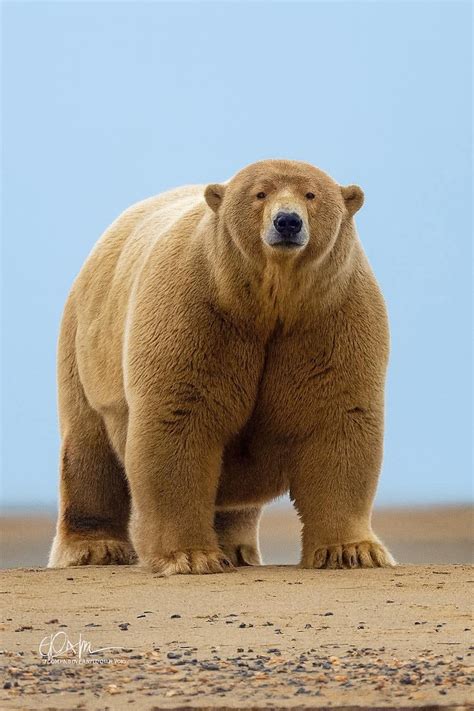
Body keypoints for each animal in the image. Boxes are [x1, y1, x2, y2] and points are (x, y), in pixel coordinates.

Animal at [48, 159, 395, 575]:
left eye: (311, 194)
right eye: (260, 193)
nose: (287, 222)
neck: (269, 301)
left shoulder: (331, 316)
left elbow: (338, 418)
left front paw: (353, 551)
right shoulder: (196, 308)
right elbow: (179, 418)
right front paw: (191, 556)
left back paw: (238, 548)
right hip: (86, 348)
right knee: (88, 448)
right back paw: (95, 548)